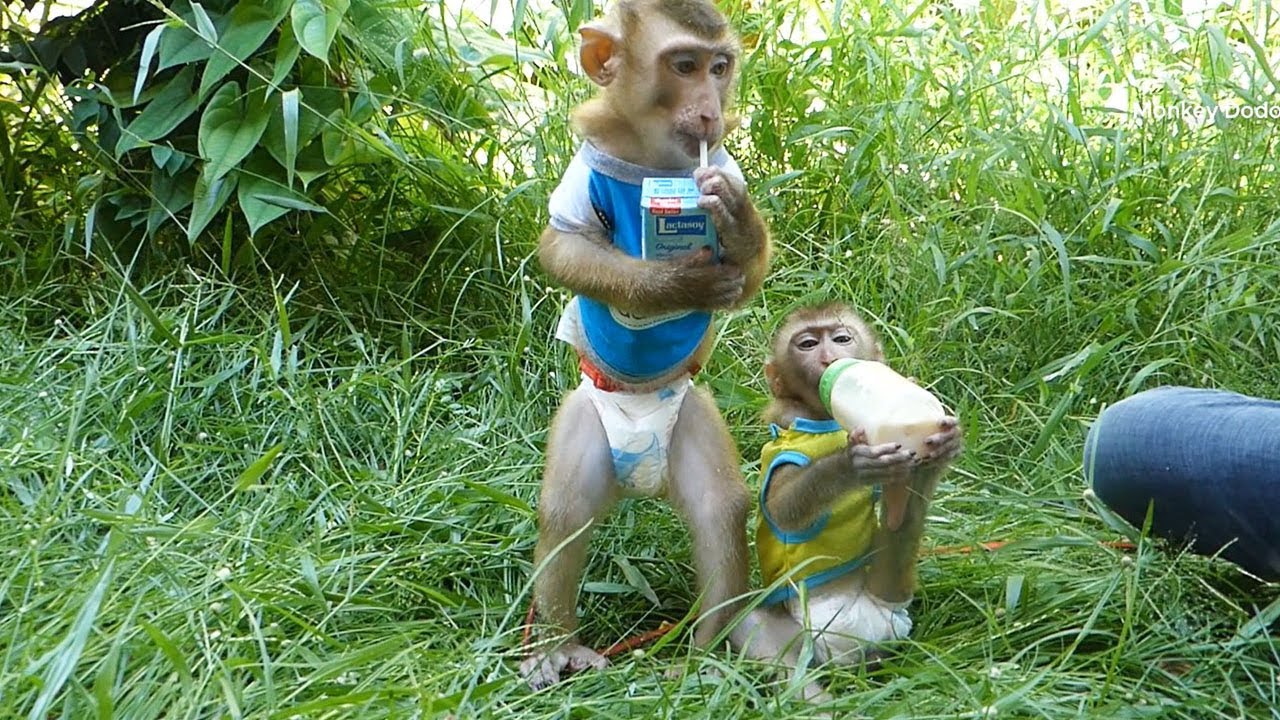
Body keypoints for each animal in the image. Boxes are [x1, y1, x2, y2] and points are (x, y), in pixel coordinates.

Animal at [519, 0, 775, 689]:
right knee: (565, 512)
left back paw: (707, 651)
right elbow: (564, 249)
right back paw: (556, 649)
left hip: (692, 417)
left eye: (720, 67)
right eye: (684, 66)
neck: (654, 161)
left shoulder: (726, 166)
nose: (711, 108)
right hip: (587, 421)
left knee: (718, 508)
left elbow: (748, 275)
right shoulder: (583, 171)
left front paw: (735, 222)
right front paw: (676, 283)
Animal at [752, 302, 963, 667]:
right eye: (807, 344)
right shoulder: (784, 450)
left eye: (841, 338)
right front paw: (852, 462)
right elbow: (781, 510)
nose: (828, 358)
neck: (824, 419)